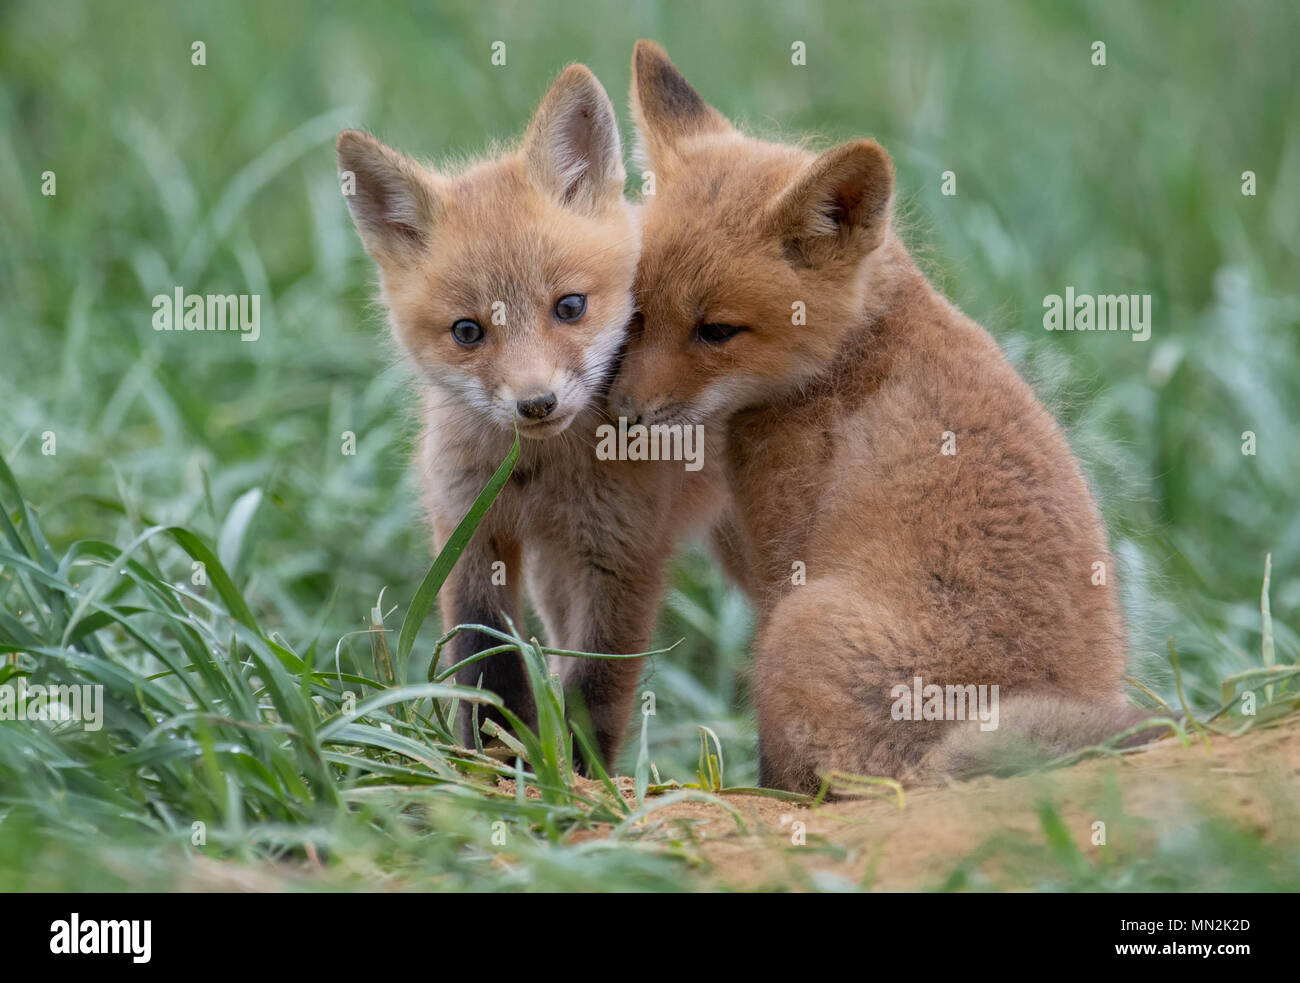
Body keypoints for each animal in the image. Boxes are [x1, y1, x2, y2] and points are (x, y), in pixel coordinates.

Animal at [336, 64, 724, 769]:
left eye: (570, 306)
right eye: (467, 331)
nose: (537, 403)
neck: (544, 472)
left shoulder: (624, 553)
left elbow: (595, 687)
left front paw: (578, 778)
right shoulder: (469, 527)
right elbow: (486, 661)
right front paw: (495, 762)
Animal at [610, 41, 1158, 793]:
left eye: (716, 331)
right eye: (635, 313)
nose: (624, 415)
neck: (854, 350)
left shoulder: (784, 559)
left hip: (799, 629)